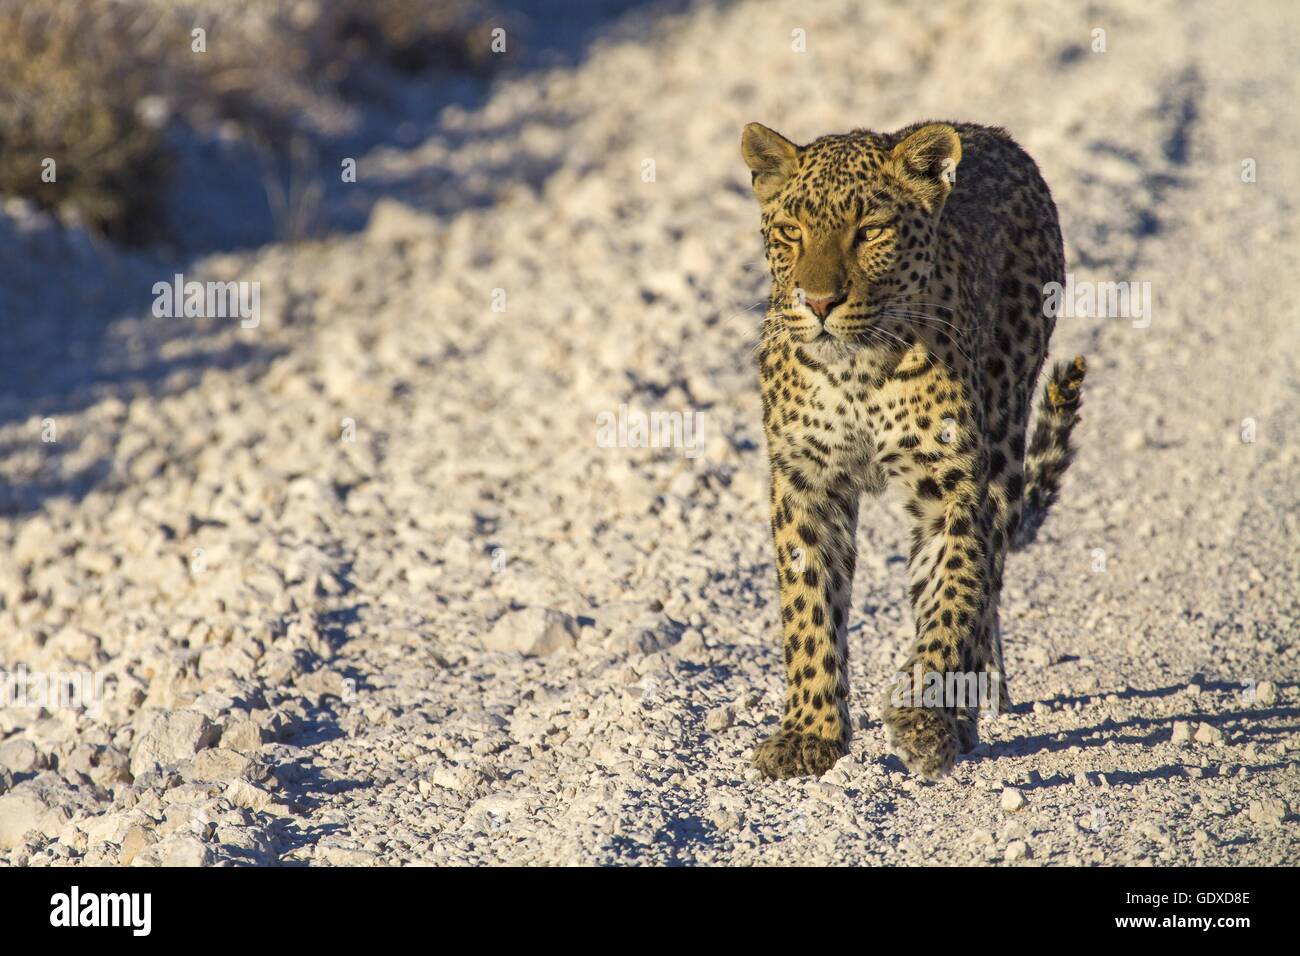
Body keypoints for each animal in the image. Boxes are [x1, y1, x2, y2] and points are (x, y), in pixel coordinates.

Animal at [740, 120, 1086, 780]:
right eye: (792, 231)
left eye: (870, 231)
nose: (817, 303)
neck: (855, 370)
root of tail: (996, 135)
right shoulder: (805, 482)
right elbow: (809, 609)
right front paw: (810, 734)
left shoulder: (952, 483)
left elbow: (952, 597)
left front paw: (924, 719)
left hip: (1005, 430)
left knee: (984, 579)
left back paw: (968, 705)